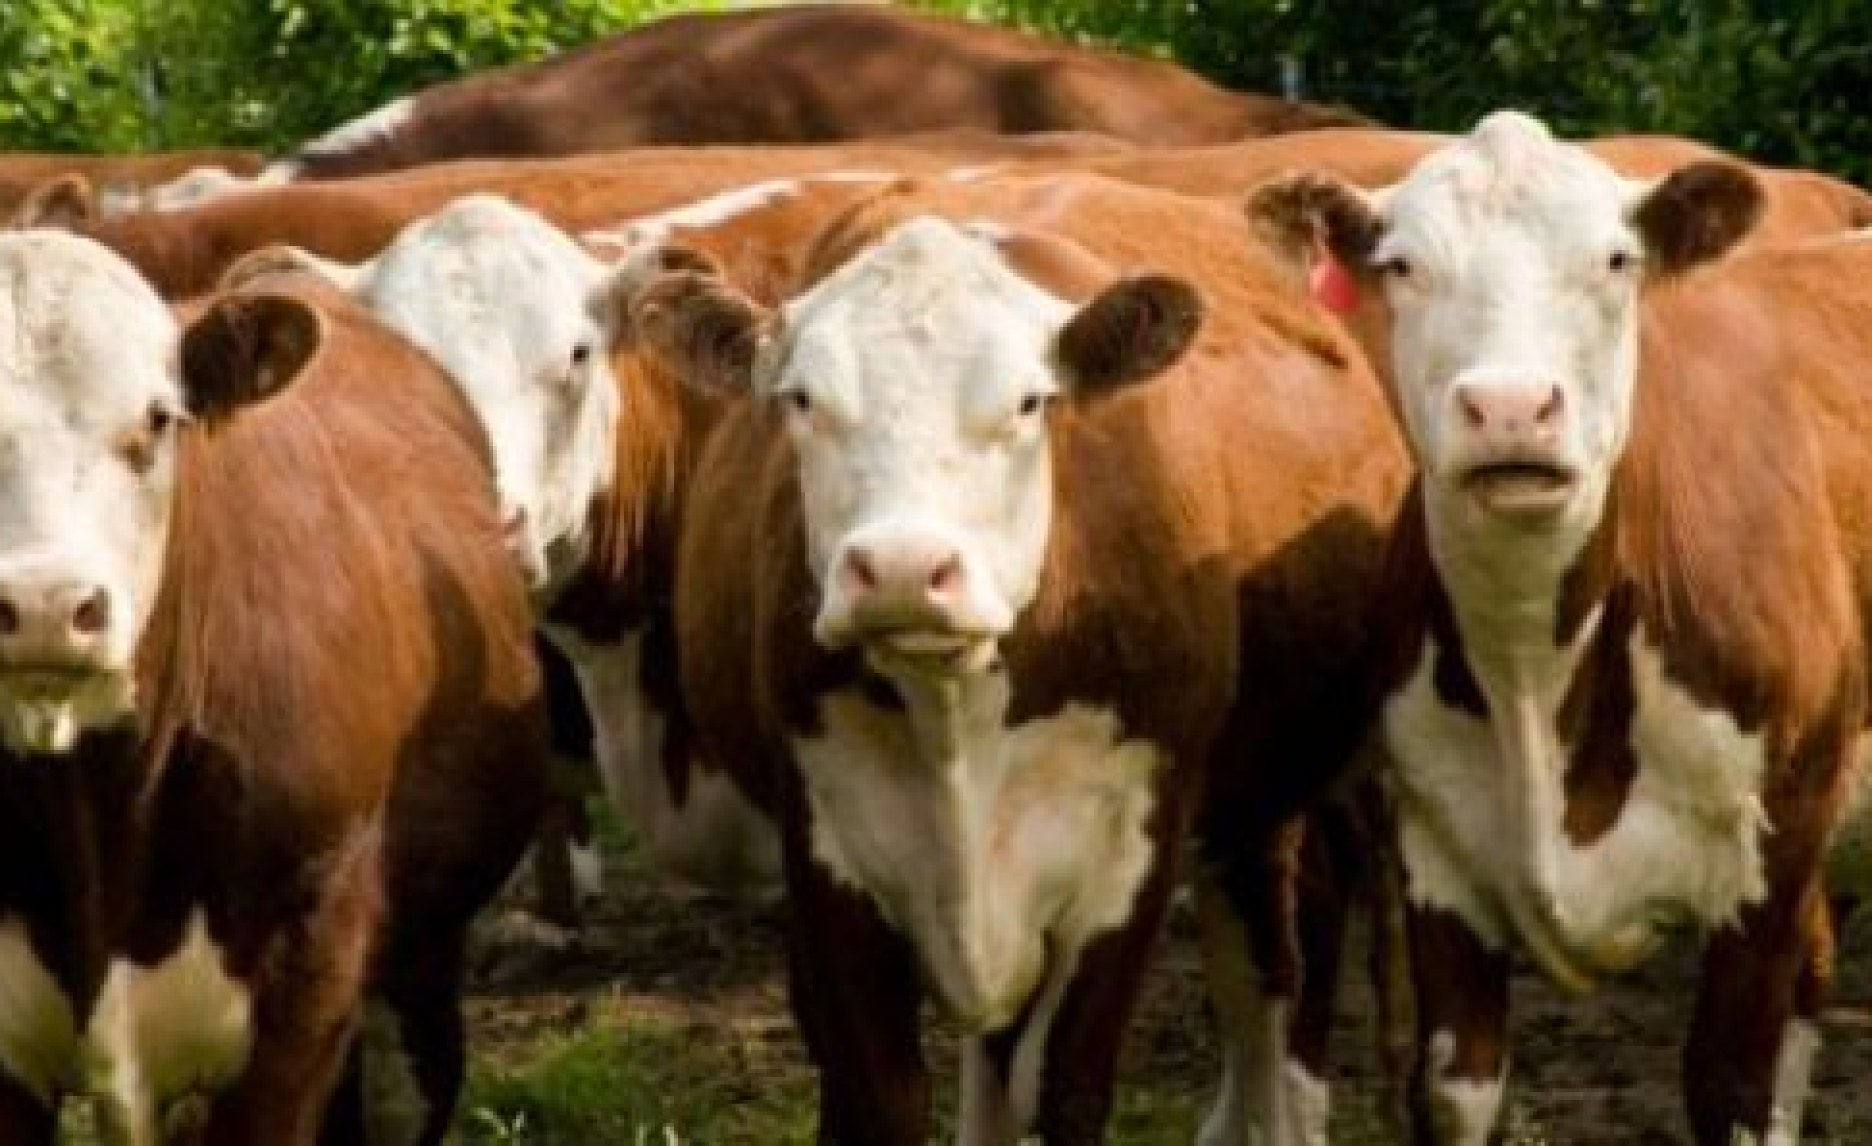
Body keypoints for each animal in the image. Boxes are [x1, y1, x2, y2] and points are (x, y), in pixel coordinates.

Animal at [617, 171, 1407, 1142]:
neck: (952, 713)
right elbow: (879, 1094)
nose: (904, 568)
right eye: (801, 399)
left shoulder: (1131, 855)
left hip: (1261, 808)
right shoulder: (827, 853)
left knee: (1267, 965)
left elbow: (1069, 1085)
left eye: (1031, 402)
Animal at [1250, 109, 1872, 1145]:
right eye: (1402, 264)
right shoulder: (1437, 860)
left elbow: (1731, 1086)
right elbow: (1453, 1090)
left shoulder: (1775, 854)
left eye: (1617, 259)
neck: (1535, 678)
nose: (1510, 407)